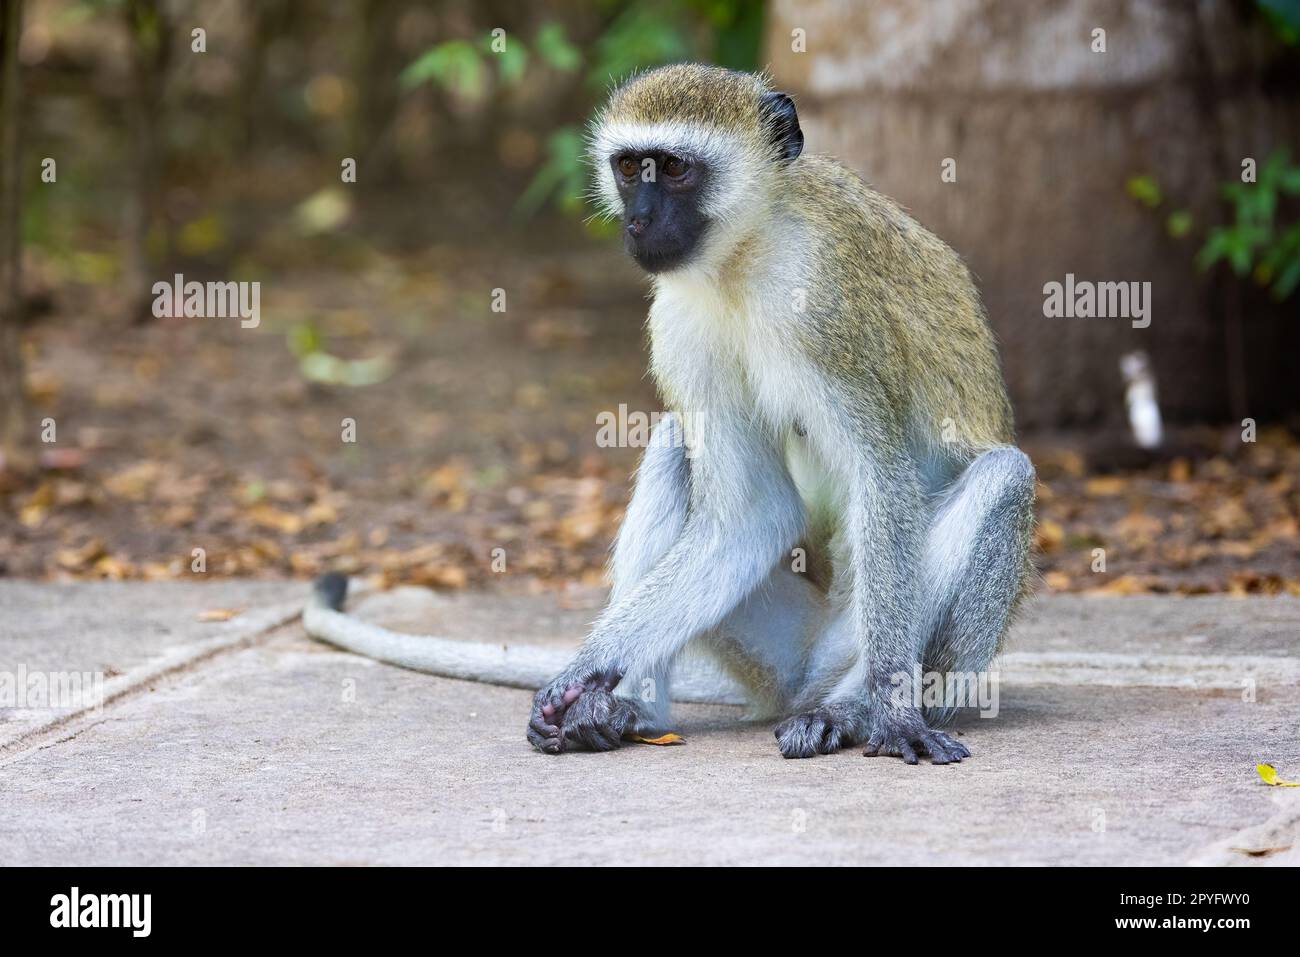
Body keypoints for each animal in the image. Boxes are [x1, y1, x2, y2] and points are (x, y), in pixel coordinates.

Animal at [304, 63, 1036, 765]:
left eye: (677, 169)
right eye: (632, 169)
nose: (638, 221)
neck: (744, 255)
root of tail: (804, 676)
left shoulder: (824, 298)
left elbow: (879, 476)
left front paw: (892, 711)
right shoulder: (678, 316)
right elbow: (752, 510)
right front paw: (593, 666)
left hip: (864, 648)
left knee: (1005, 476)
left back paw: (852, 709)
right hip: (778, 647)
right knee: (674, 444)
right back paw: (631, 712)